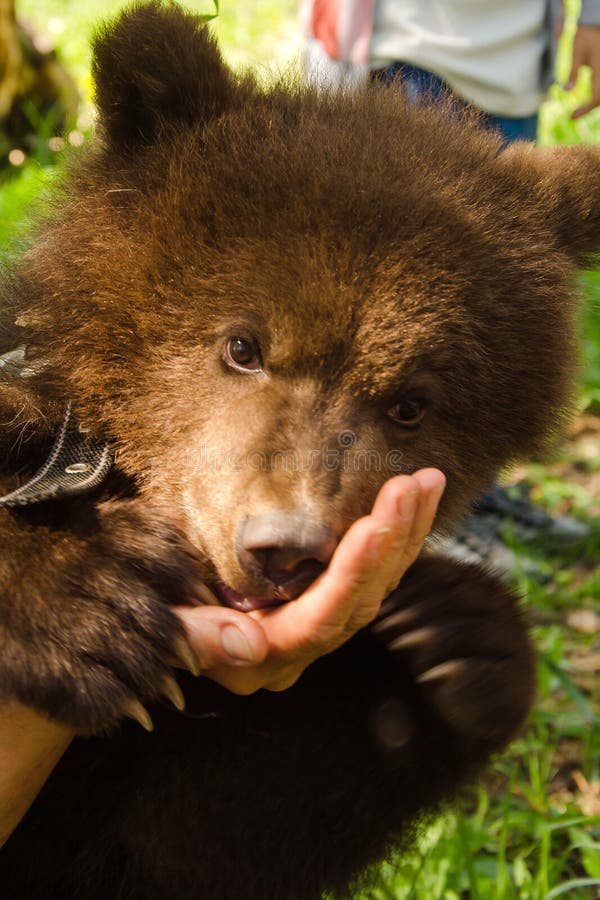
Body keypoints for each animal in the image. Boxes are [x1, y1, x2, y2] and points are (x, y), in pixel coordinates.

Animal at [0, 3, 599, 898]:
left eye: (411, 404)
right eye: (242, 346)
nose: (283, 547)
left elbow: (200, 832)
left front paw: (456, 643)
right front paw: (84, 603)